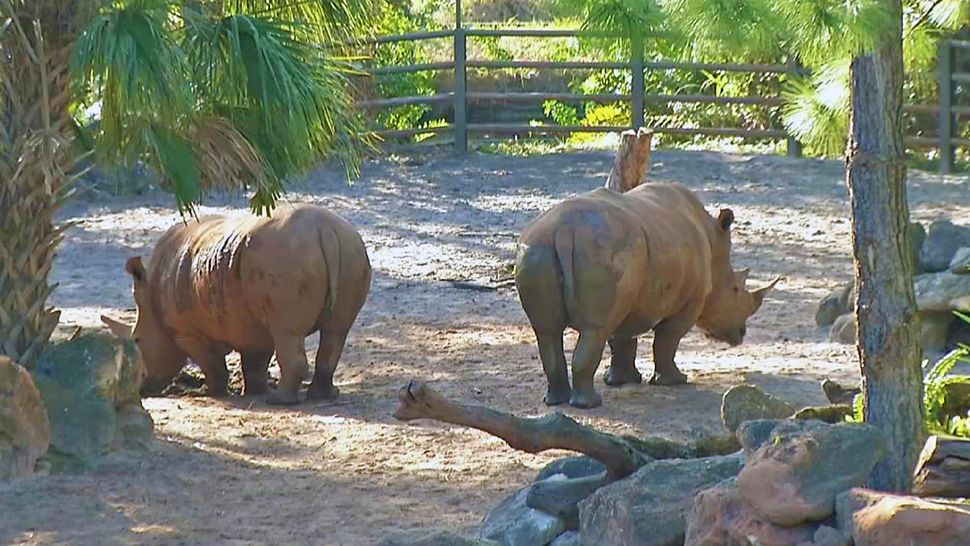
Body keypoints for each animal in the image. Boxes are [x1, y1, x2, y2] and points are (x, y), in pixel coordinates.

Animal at [101, 203, 371, 406]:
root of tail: (323, 230)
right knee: (336, 330)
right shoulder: (250, 317)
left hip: (287, 257)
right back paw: (322, 396)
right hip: (349, 247)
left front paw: (210, 393)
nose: (141, 390)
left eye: (137, 340)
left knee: (288, 333)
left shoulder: (186, 331)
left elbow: (211, 361)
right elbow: (256, 359)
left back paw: (280, 401)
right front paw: (255, 391)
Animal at [515, 182, 777, 409]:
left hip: (539, 249)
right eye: (735, 290)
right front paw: (676, 381)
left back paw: (556, 401)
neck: (714, 246)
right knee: (594, 330)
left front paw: (622, 380)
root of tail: (562, 231)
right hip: (598, 252)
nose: (741, 334)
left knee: (547, 331)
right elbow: (667, 340)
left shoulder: (631, 293)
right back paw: (590, 404)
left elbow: (621, 337)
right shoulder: (691, 300)